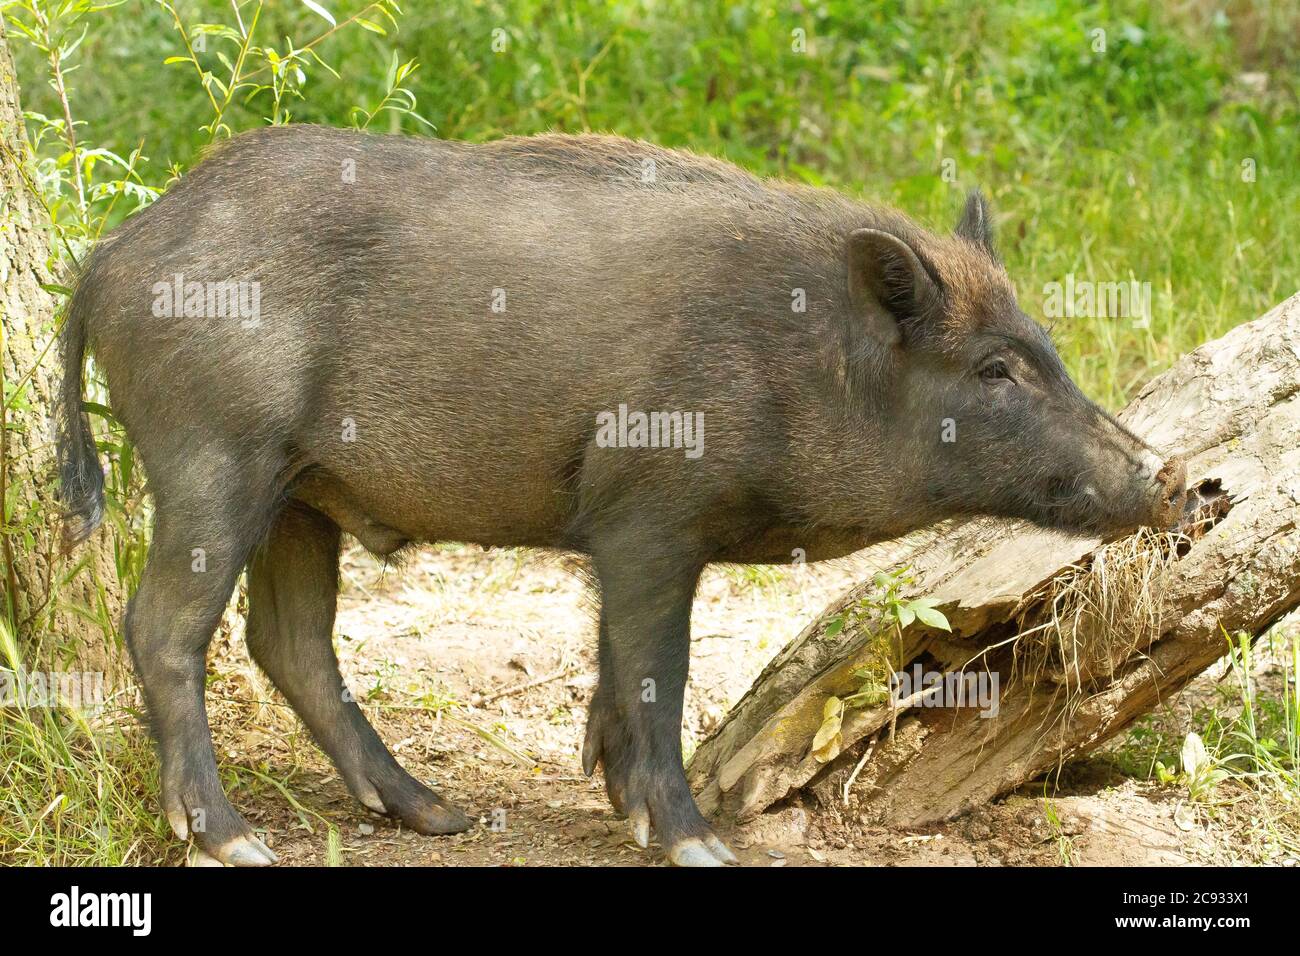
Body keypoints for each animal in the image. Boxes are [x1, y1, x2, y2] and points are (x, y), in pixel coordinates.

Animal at [56, 126, 1186, 866]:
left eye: (1045, 344)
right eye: (994, 369)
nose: (1173, 476)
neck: (808, 362)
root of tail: (108, 255)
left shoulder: (627, 534)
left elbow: (614, 669)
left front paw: (616, 805)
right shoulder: (649, 513)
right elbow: (656, 669)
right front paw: (696, 845)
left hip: (301, 491)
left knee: (288, 641)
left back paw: (436, 817)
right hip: (214, 454)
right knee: (162, 626)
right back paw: (236, 841)